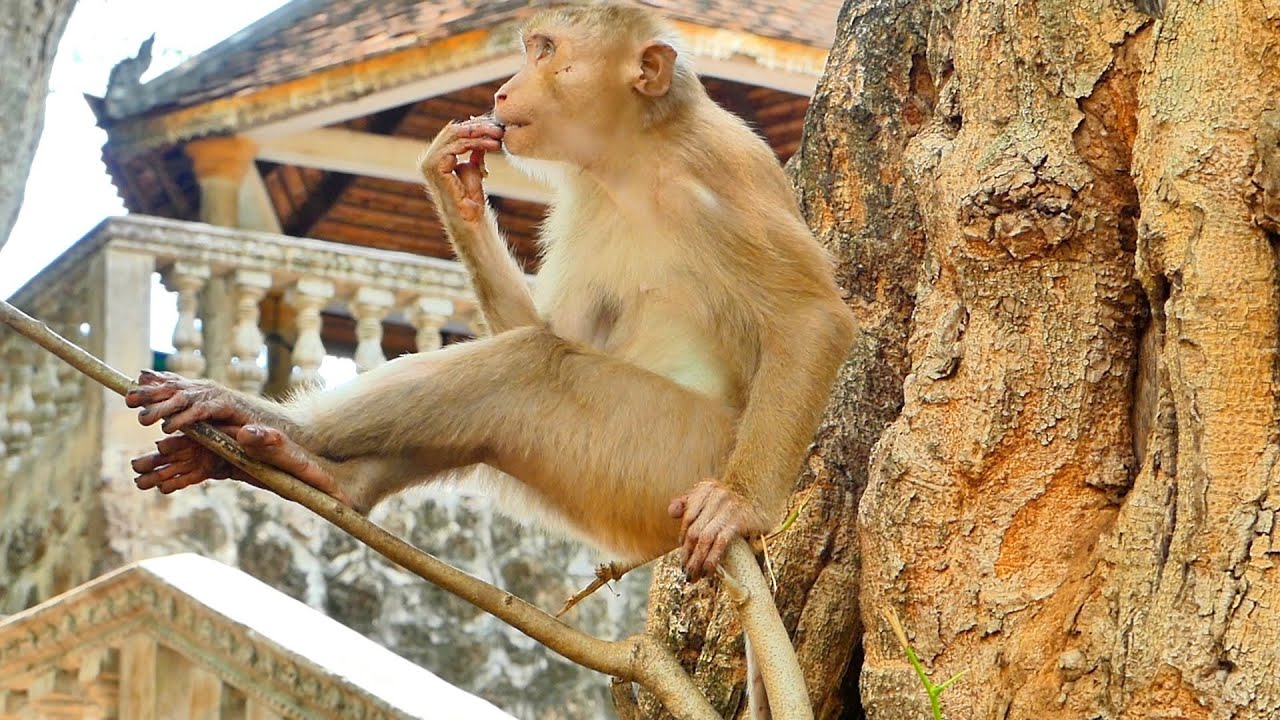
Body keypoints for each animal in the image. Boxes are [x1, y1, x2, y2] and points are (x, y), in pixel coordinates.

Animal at [124, 2, 856, 583]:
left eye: (547, 53)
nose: (503, 93)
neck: (636, 155)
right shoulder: (583, 196)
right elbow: (556, 325)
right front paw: (456, 191)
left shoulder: (719, 168)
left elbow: (813, 317)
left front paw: (740, 506)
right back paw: (331, 475)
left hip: (673, 461)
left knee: (528, 371)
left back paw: (276, 424)